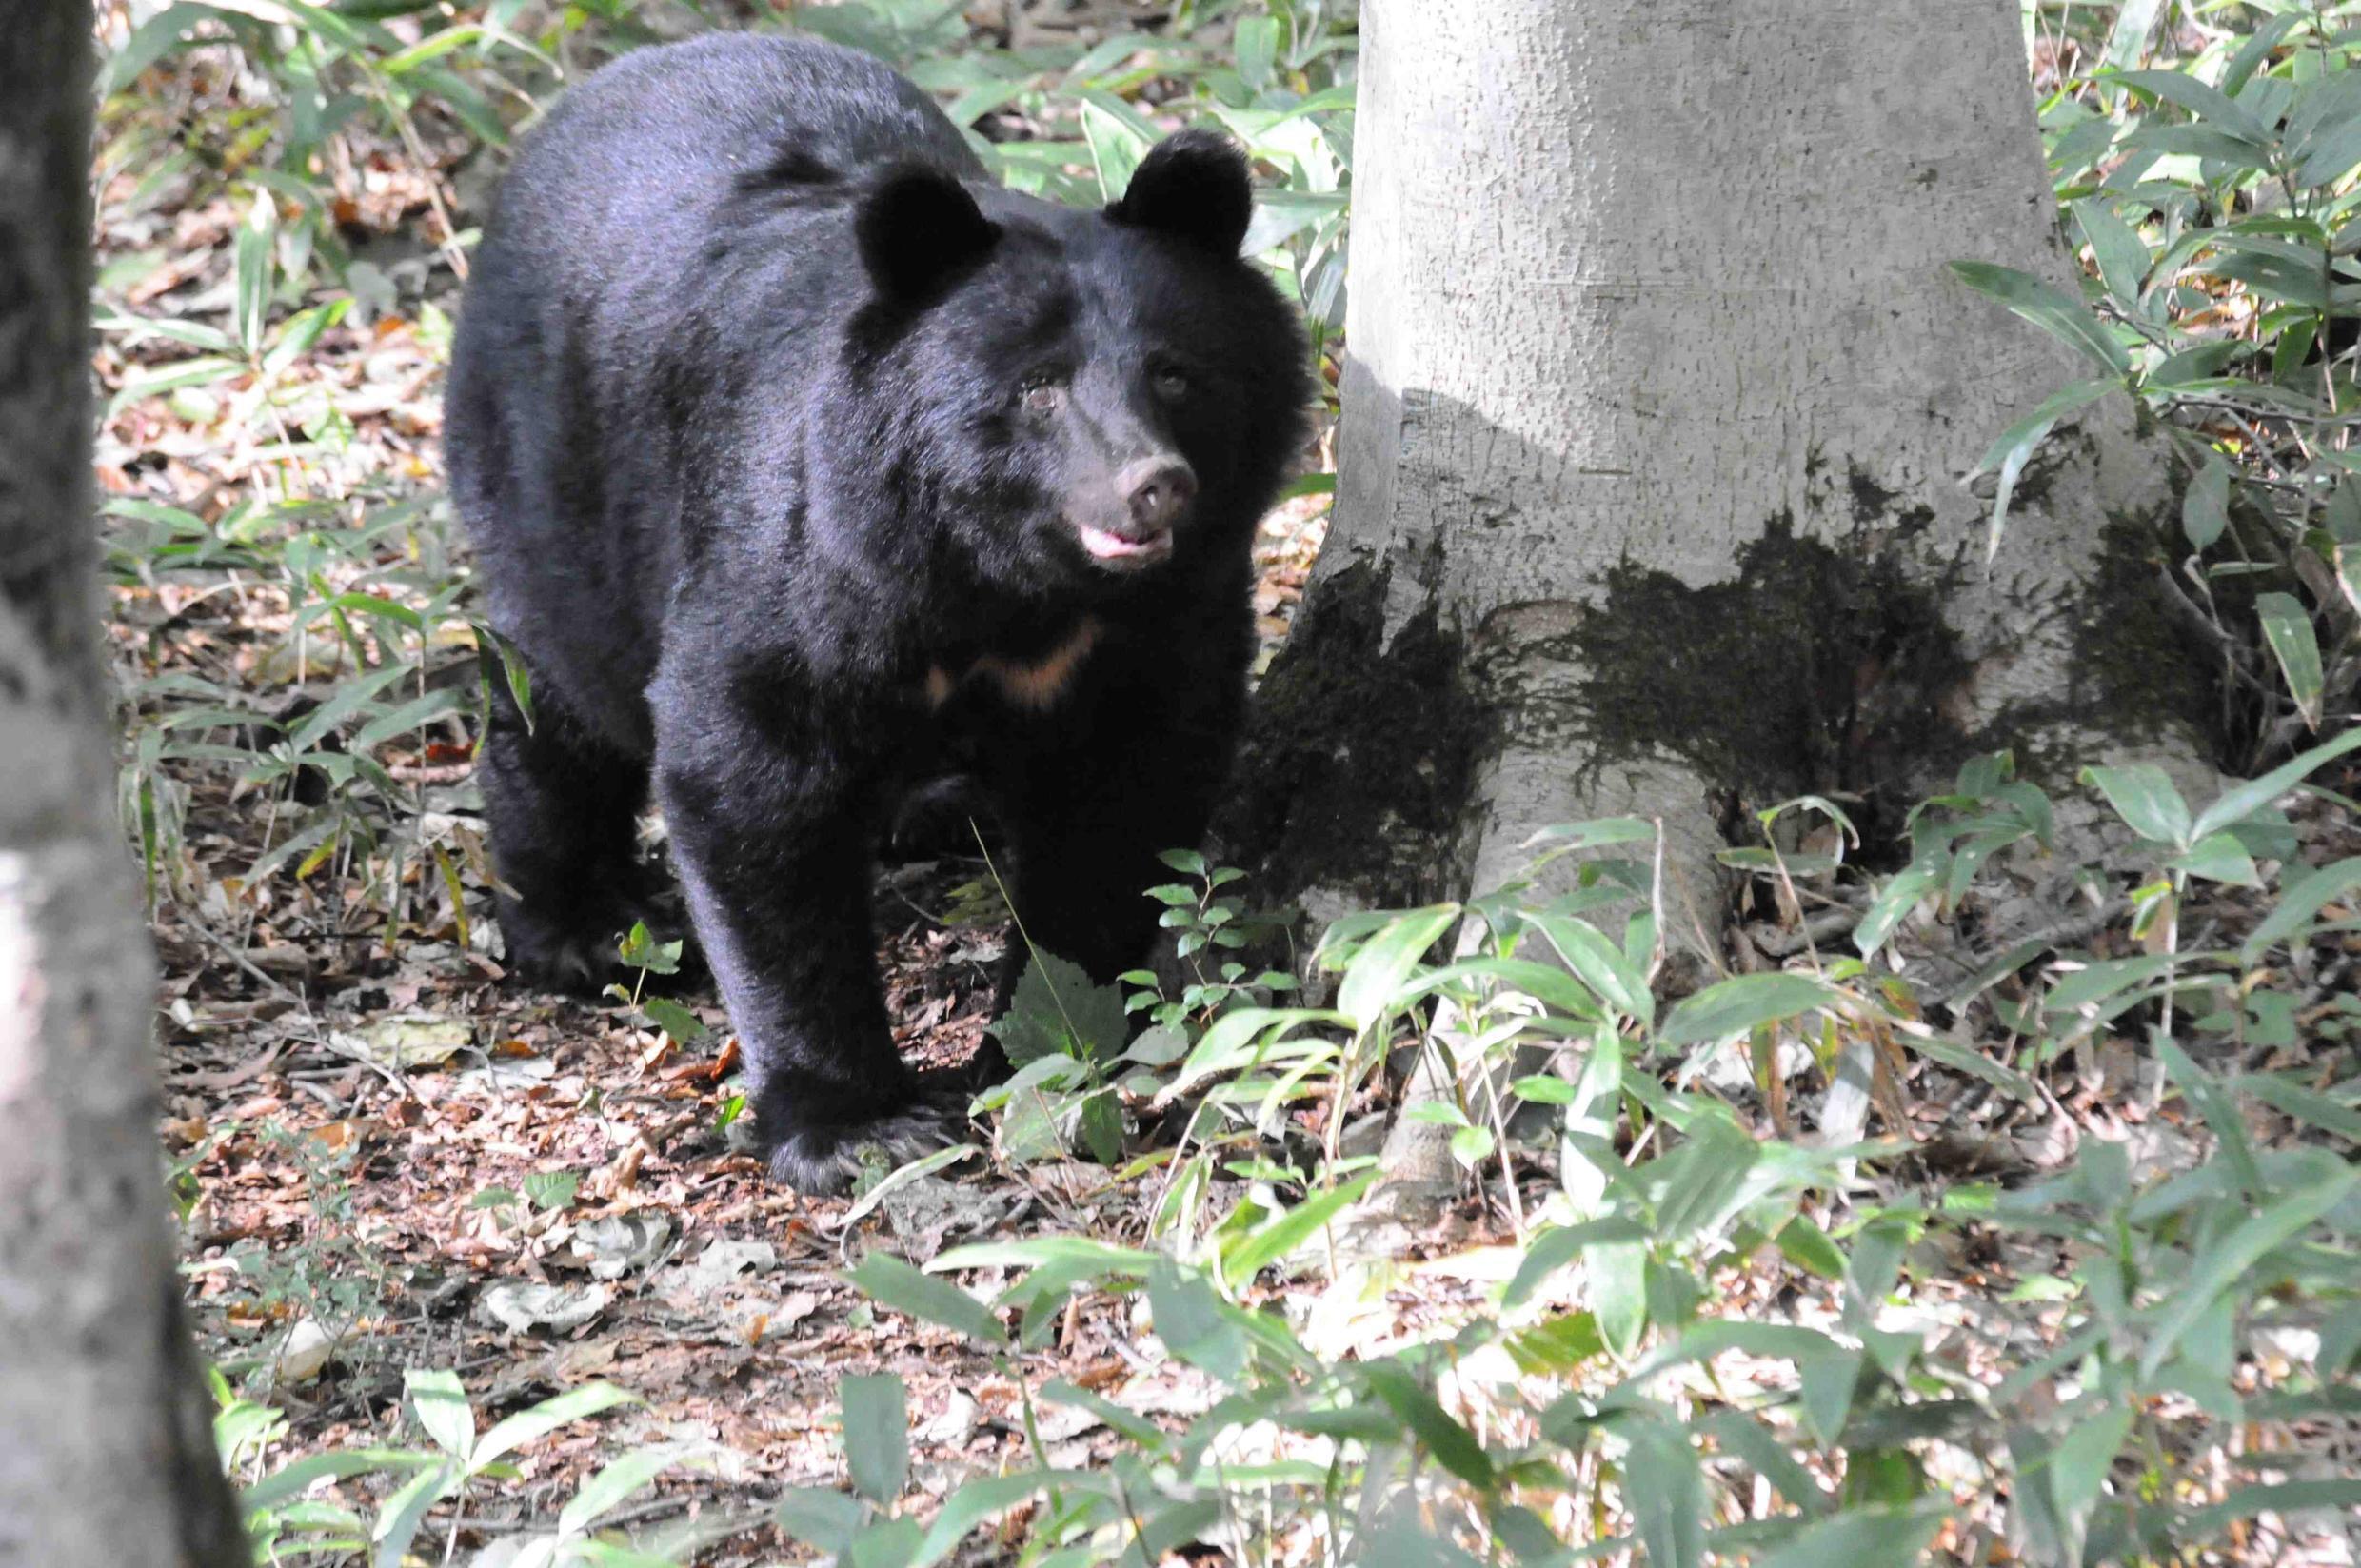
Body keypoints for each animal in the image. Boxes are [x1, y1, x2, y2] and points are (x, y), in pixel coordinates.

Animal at [443, 33, 1310, 1193]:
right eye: (1037, 387)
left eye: (1175, 374)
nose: (1152, 487)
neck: (1010, 585)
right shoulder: (812, 558)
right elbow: (750, 774)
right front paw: (858, 1126)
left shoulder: (1170, 615)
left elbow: (1124, 789)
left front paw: (1045, 1037)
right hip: (554, 462)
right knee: (560, 693)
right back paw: (577, 924)